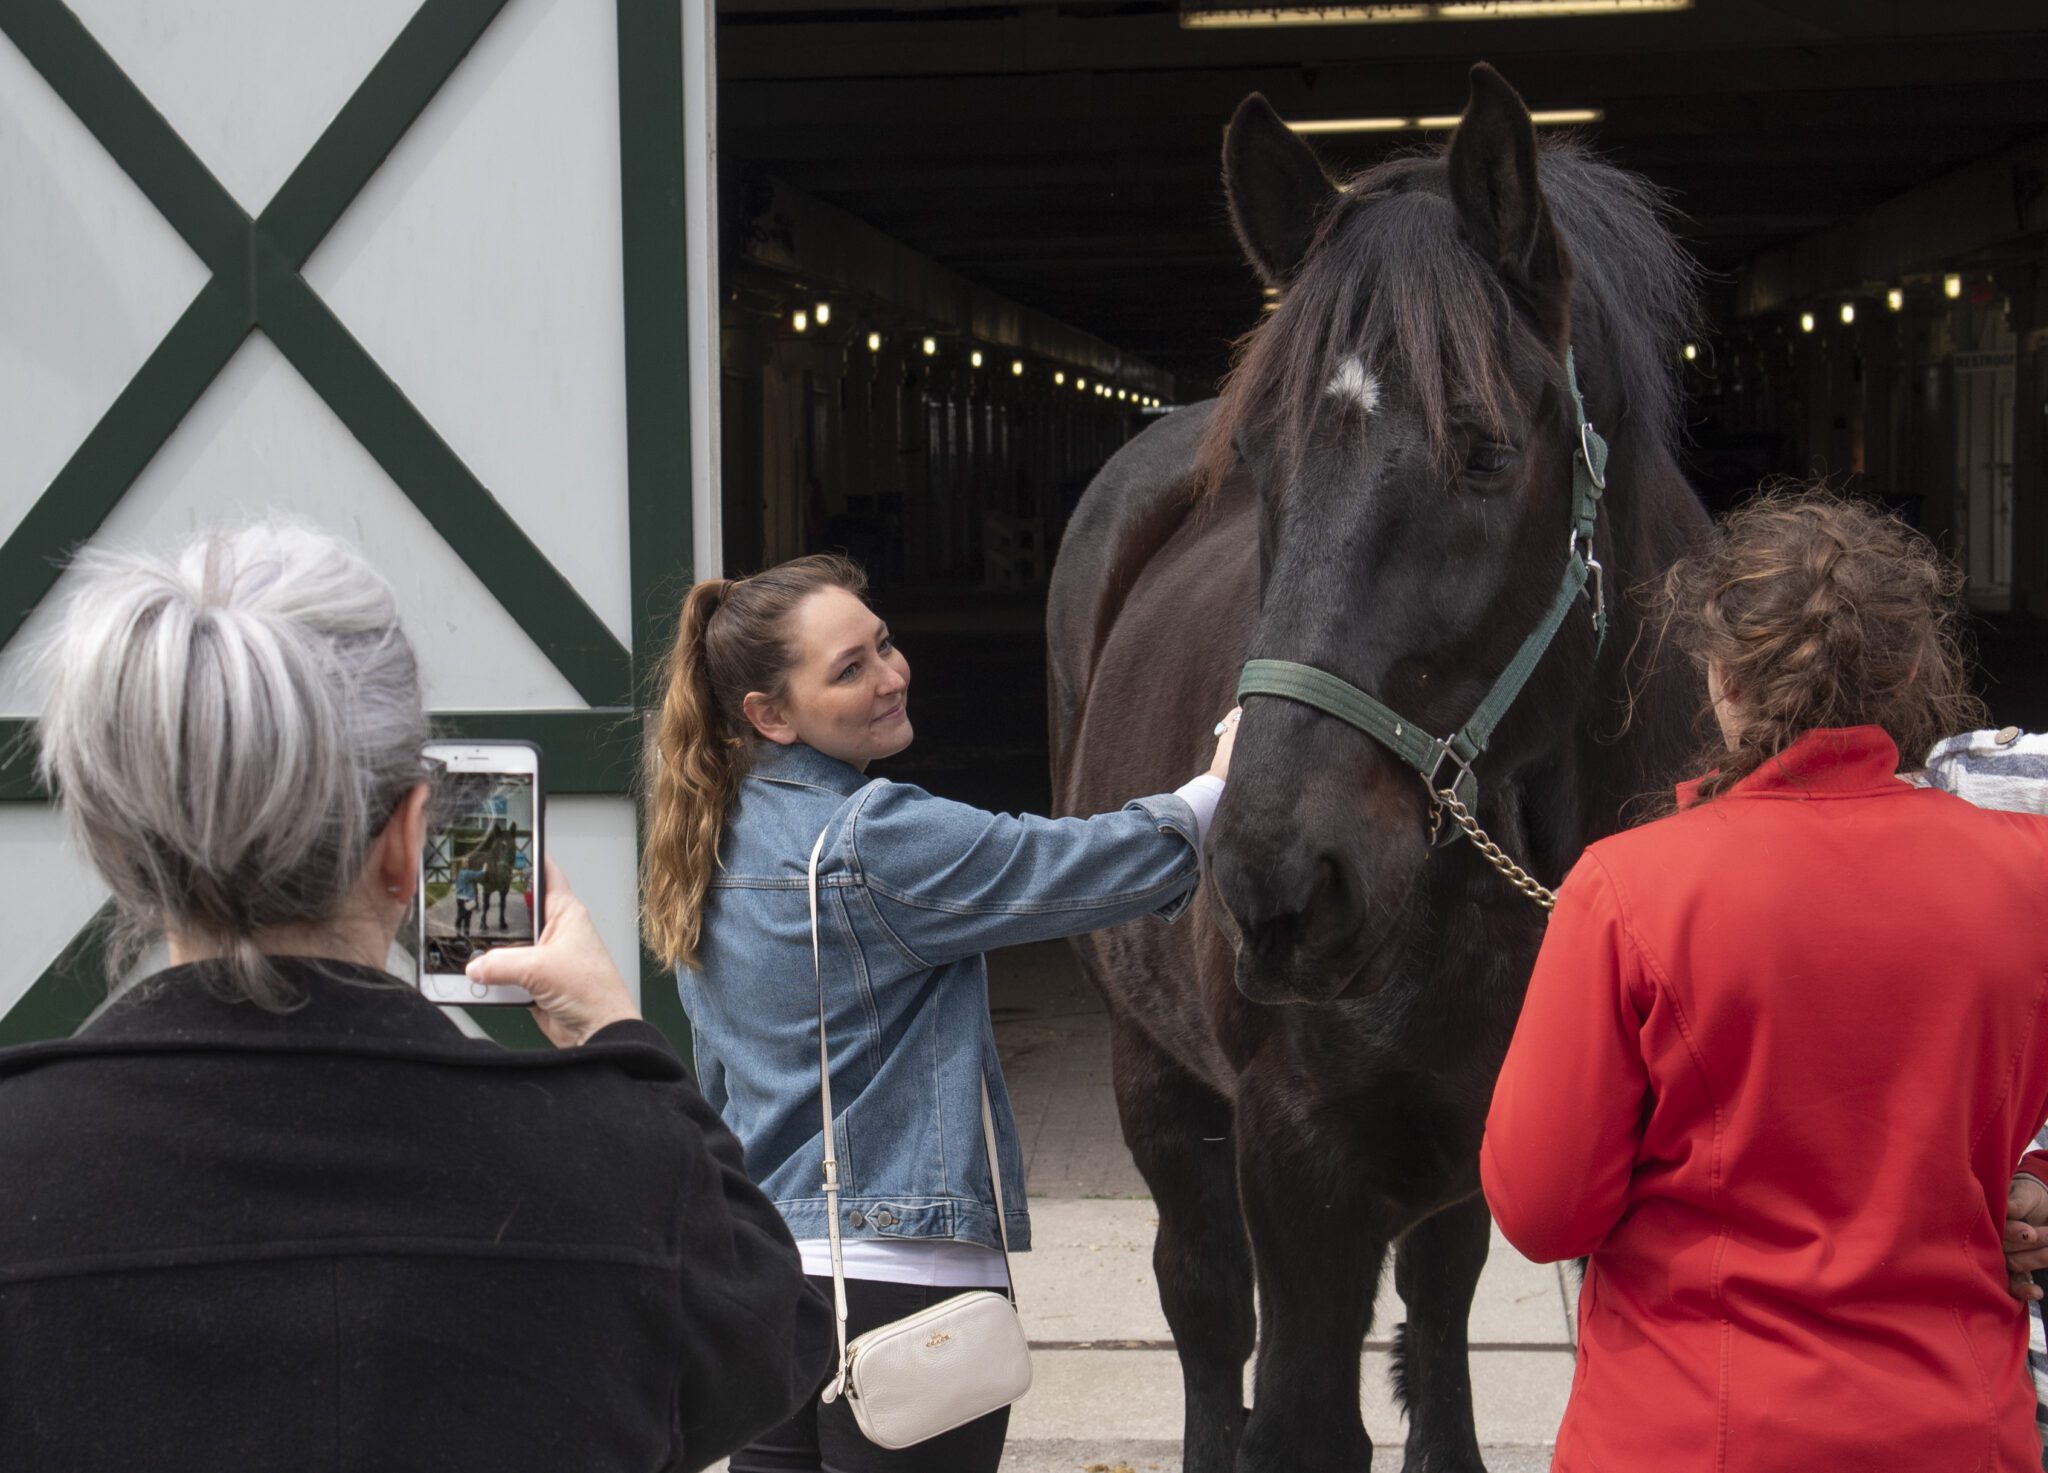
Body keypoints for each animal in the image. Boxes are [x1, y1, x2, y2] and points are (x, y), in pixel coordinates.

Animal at [1047, 64, 1710, 1473]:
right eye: (1256, 465)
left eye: (1487, 452)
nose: (1277, 886)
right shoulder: (1300, 1171)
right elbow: (1293, 1407)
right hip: (1155, 1080)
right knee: (1201, 1310)